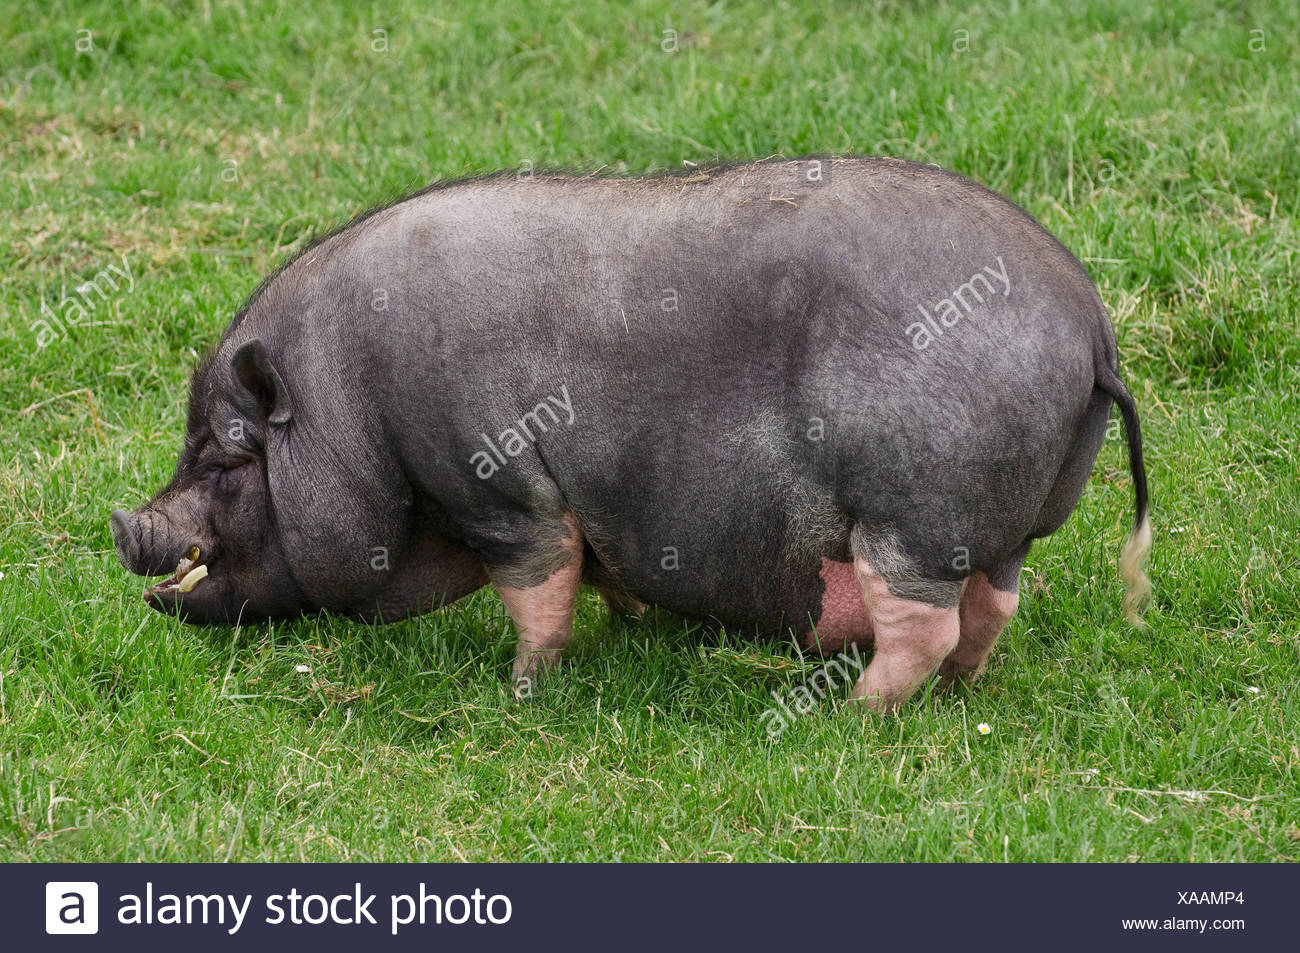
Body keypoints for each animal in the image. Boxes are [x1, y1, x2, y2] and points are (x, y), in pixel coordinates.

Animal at [111, 156, 1151, 712]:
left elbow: (536, 588)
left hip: (918, 512)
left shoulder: (496, 486)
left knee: (924, 624)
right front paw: (633, 624)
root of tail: (1091, 325)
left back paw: (852, 719)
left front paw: (521, 690)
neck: (345, 401)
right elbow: (596, 570)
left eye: (225, 452)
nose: (125, 525)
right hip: (1003, 526)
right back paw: (960, 697)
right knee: (992, 608)